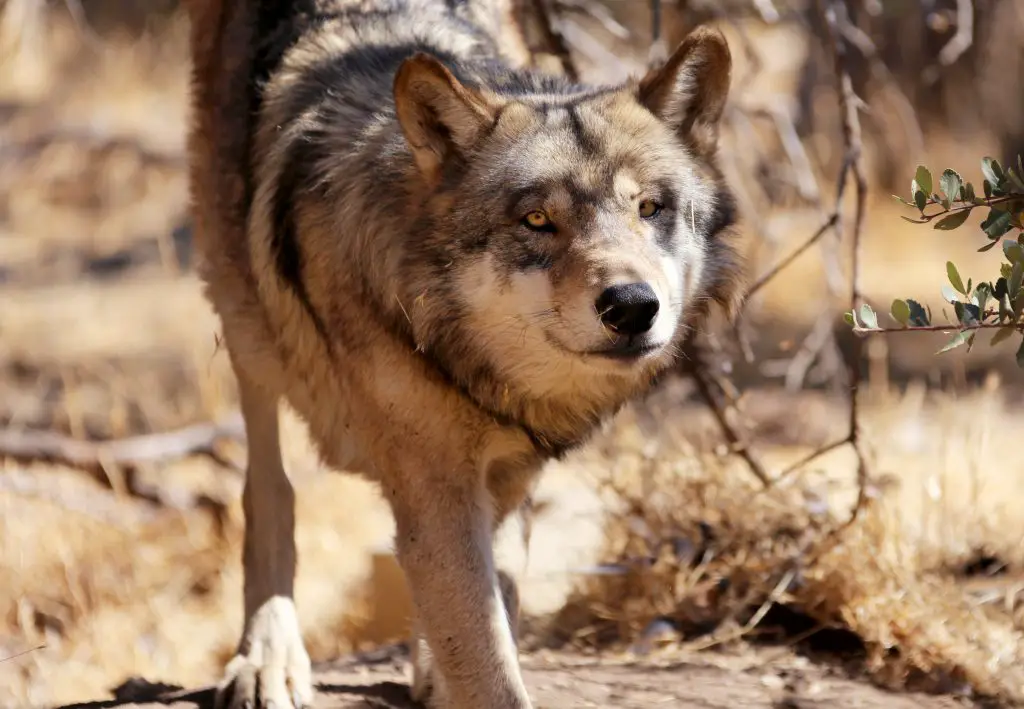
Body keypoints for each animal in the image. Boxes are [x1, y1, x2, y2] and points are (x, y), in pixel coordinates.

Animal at [184, 0, 742, 707]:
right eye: (537, 221)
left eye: (650, 208)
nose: (632, 306)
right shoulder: (436, 486)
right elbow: (488, 665)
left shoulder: (504, 471)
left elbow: (485, 611)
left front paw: (440, 672)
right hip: (243, 314)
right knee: (266, 488)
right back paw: (267, 656)